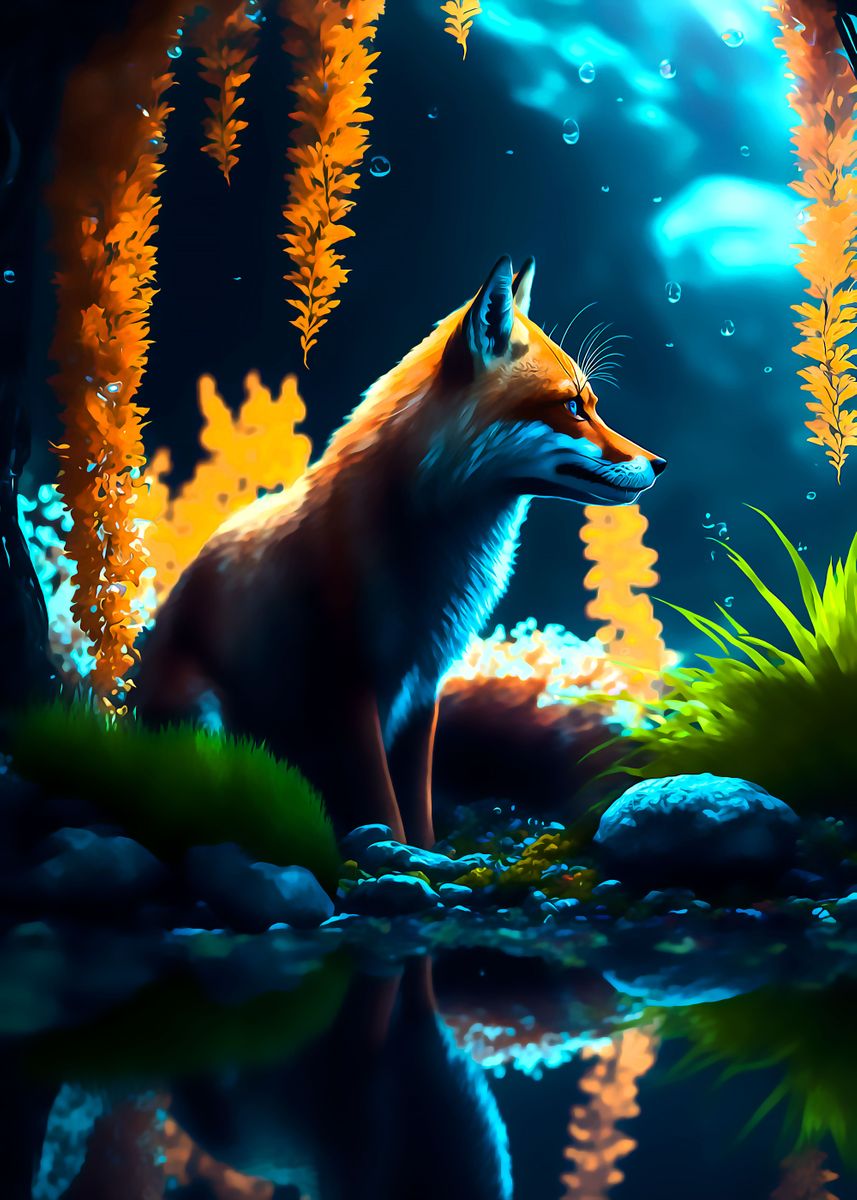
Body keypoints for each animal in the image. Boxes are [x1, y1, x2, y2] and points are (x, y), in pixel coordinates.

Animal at [137, 256, 666, 848]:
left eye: (593, 405)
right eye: (573, 406)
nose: (659, 463)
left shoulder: (423, 686)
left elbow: (416, 802)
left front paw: (427, 854)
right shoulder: (346, 685)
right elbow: (381, 803)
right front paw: (388, 850)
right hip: (203, 716)